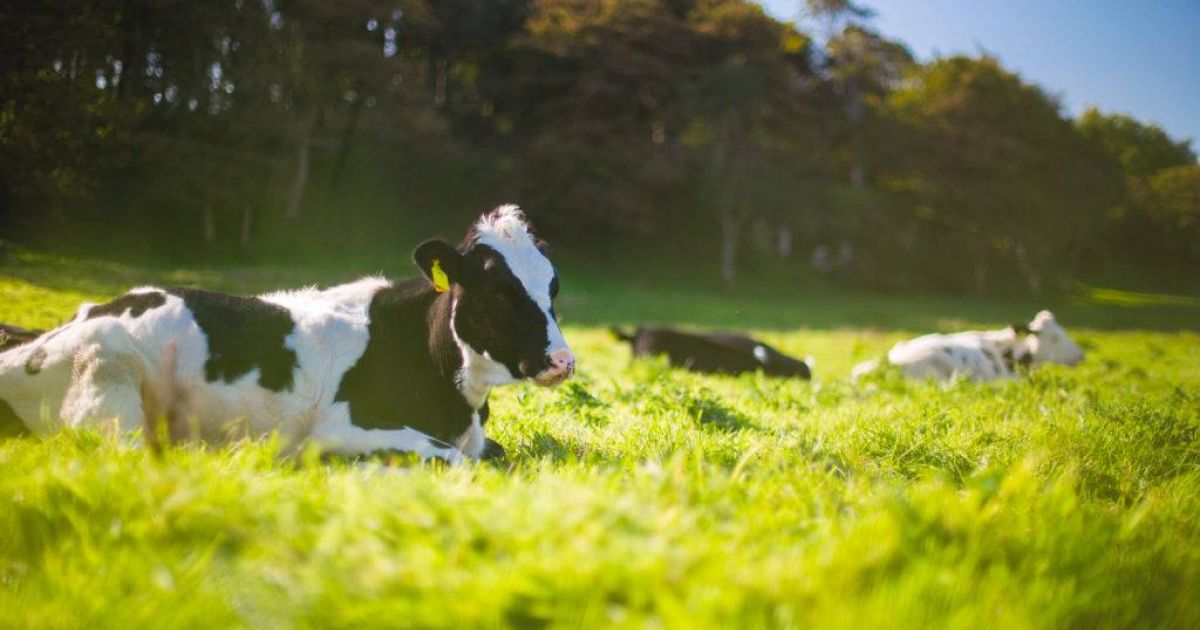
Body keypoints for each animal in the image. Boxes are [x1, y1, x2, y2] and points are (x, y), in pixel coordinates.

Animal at [0, 205, 574, 464]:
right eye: (498, 290)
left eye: (553, 285)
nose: (563, 361)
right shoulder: (344, 426)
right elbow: (453, 459)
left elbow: (491, 454)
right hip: (108, 386)